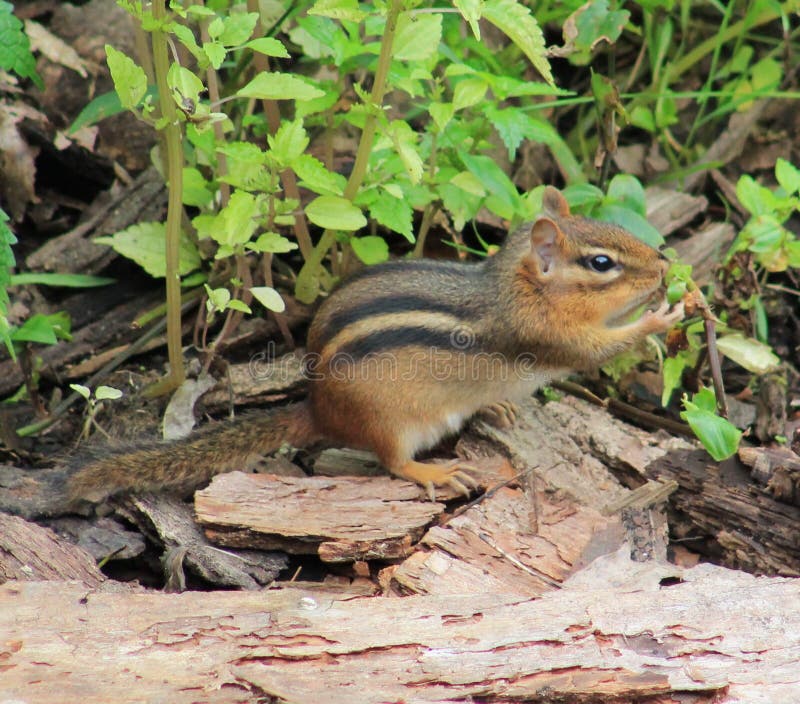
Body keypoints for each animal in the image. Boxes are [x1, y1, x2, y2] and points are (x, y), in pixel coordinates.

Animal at [67, 187, 684, 504]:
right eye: (601, 263)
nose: (664, 266)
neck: (515, 286)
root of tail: (319, 409)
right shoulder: (547, 334)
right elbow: (595, 350)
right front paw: (663, 315)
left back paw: (492, 405)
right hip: (391, 420)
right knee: (392, 462)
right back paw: (432, 473)